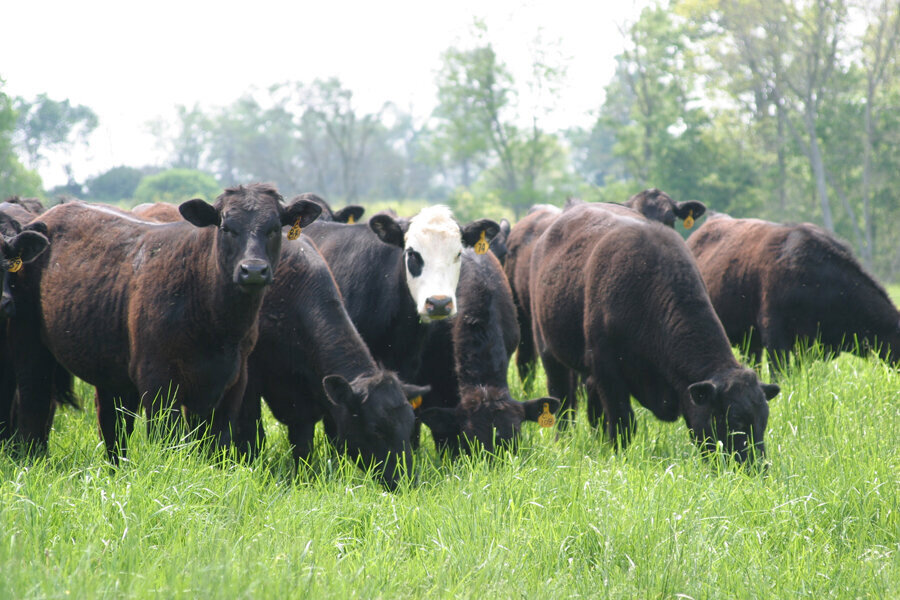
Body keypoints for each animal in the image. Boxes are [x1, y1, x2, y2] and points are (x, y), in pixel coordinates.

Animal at [9, 184, 321, 458]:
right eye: (226, 227)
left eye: (274, 228)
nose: (253, 270)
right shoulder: (157, 379)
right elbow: (168, 441)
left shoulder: (232, 382)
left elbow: (216, 443)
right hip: (31, 350)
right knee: (34, 408)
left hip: (108, 369)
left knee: (112, 428)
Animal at [530, 202, 780, 463]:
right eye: (734, 421)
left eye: (763, 420)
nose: (757, 466)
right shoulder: (607, 368)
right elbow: (623, 423)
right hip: (548, 350)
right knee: (562, 401)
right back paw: (562, 442)